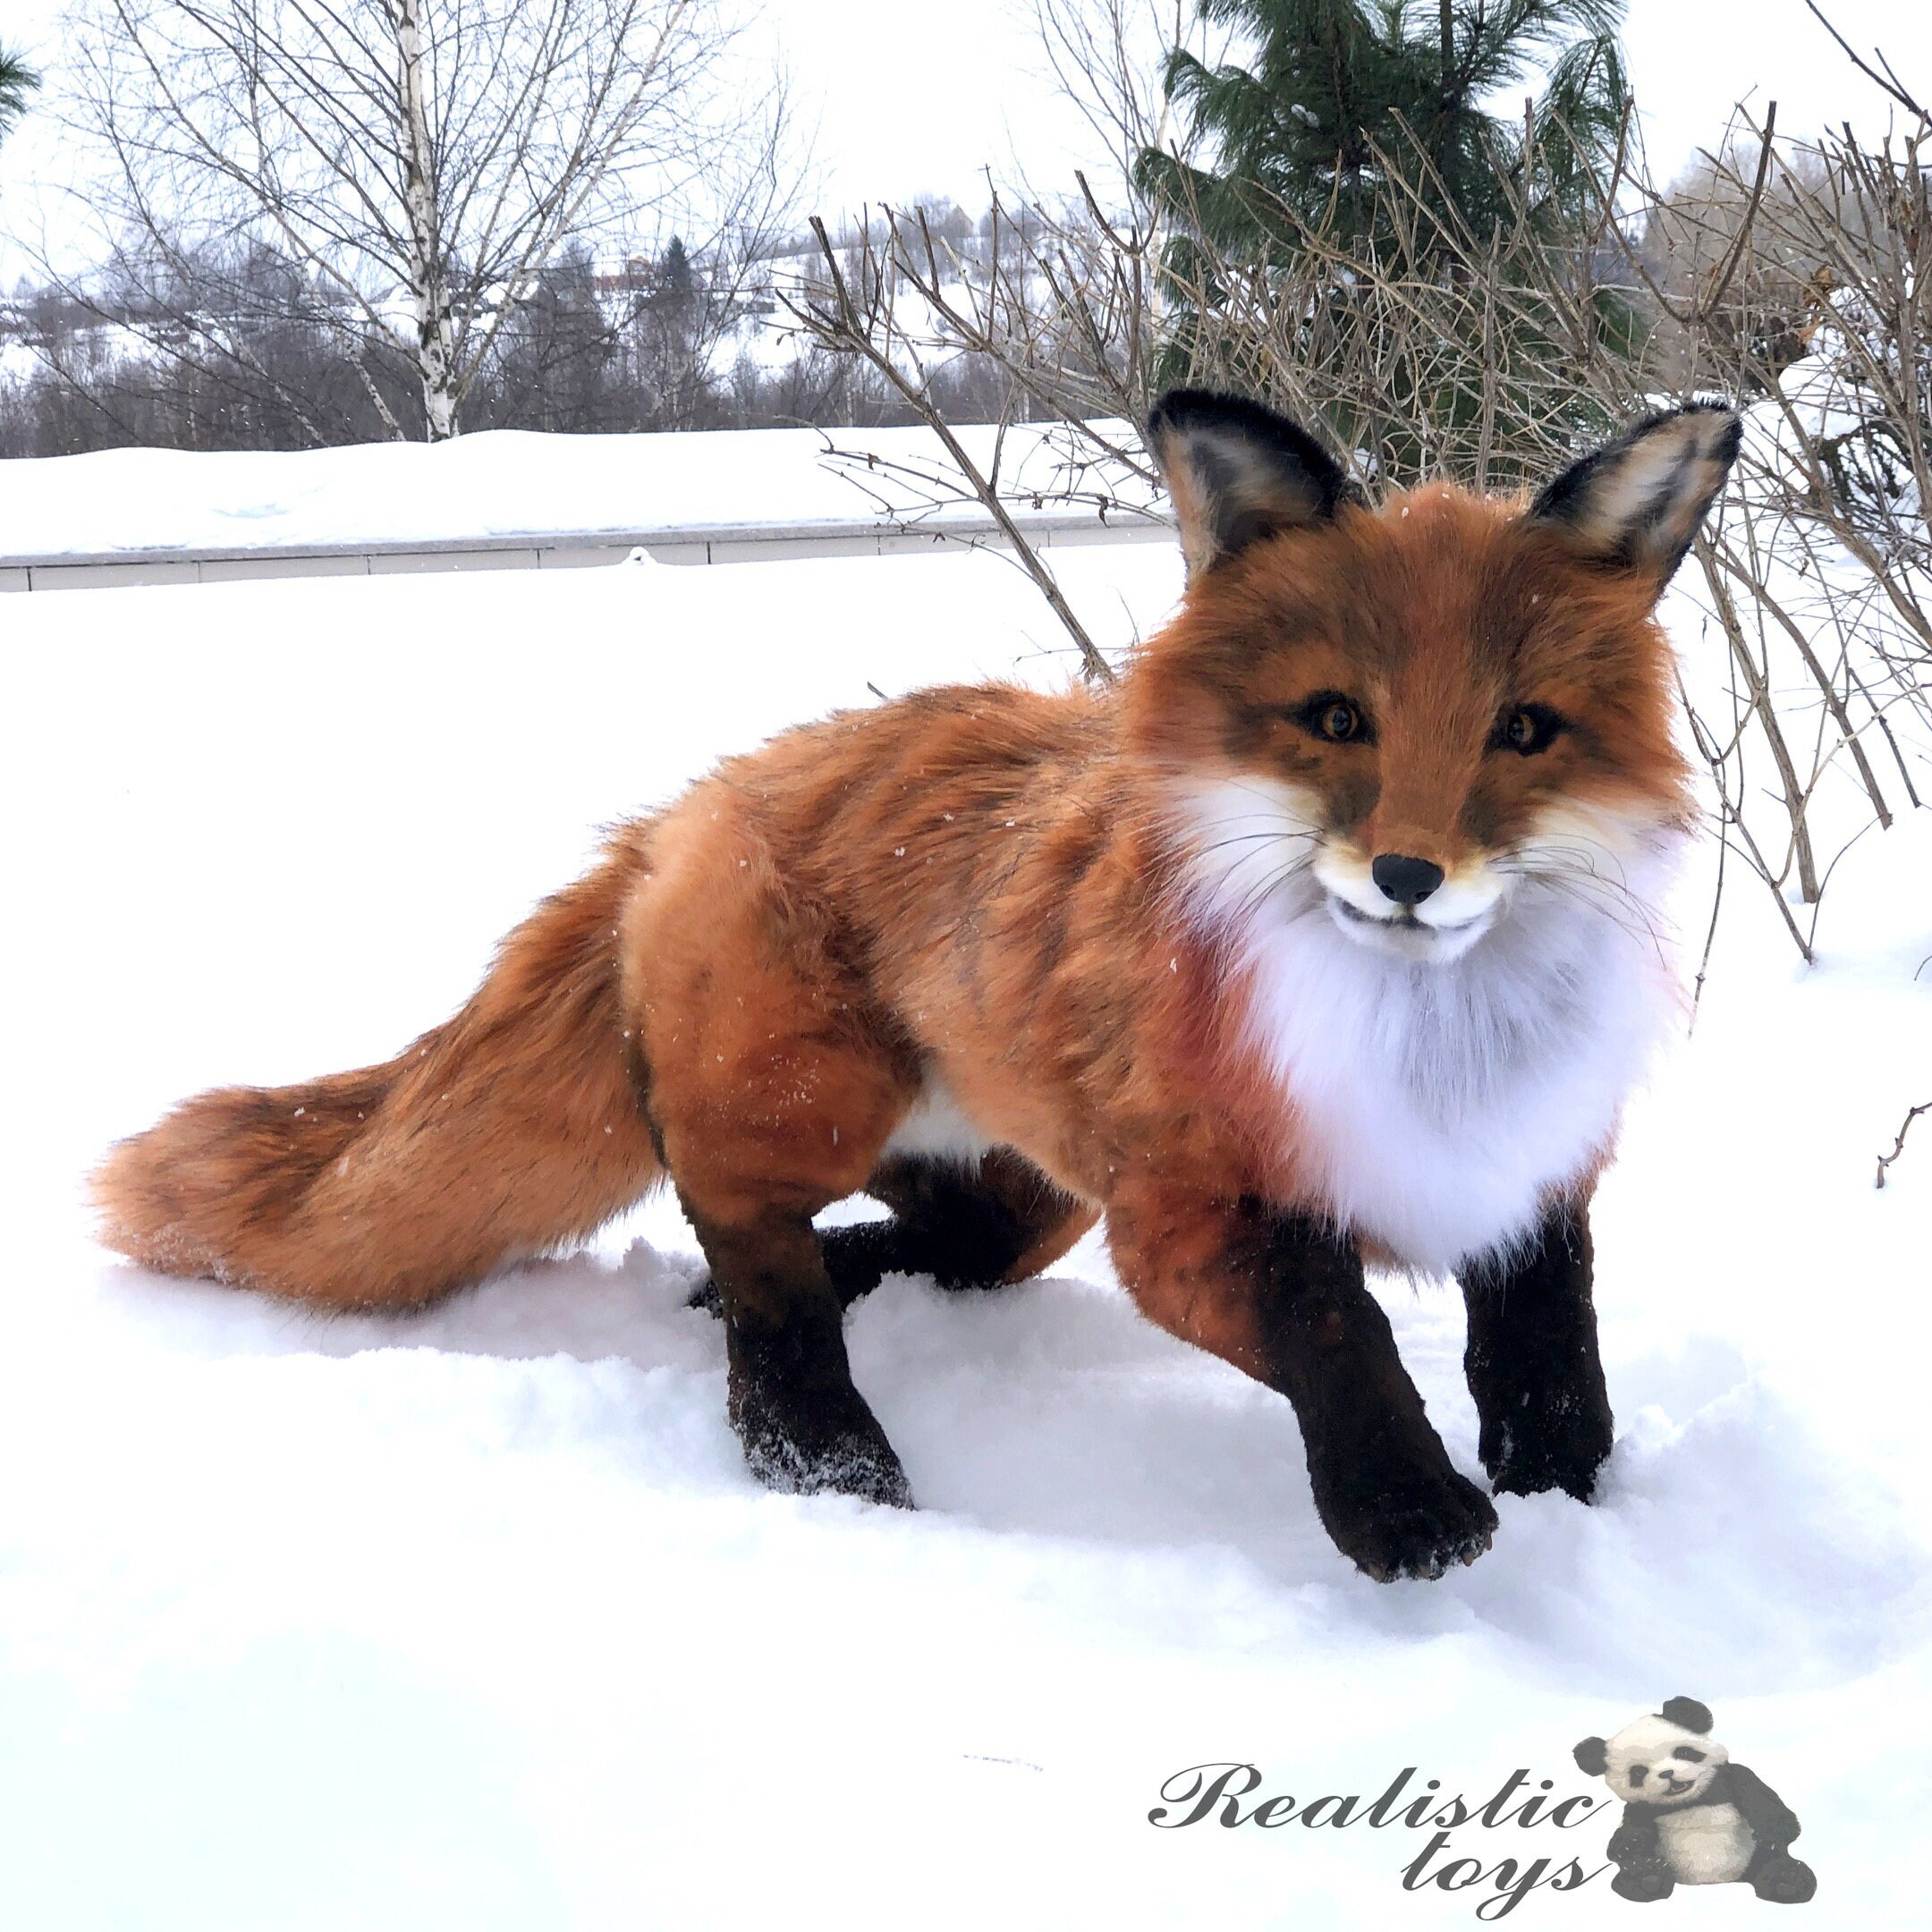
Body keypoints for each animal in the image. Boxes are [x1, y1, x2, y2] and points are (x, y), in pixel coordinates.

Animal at [92, 389, 1741, 1582]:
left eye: (1523, 732)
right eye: (1337, 720)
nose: (1410, 876)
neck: (1422, 1039)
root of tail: (687, 804)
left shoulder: (1526, 1170)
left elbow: (1551, 1335)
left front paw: (1564, 1480)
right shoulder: (1187, 1210)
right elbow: (1339, 1322)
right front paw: (1409, 1507)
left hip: (1024, 1166)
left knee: (945, 1239)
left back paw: (806, 1296)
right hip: (829, 1096)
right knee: (744, 1221)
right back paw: (814, 1441)